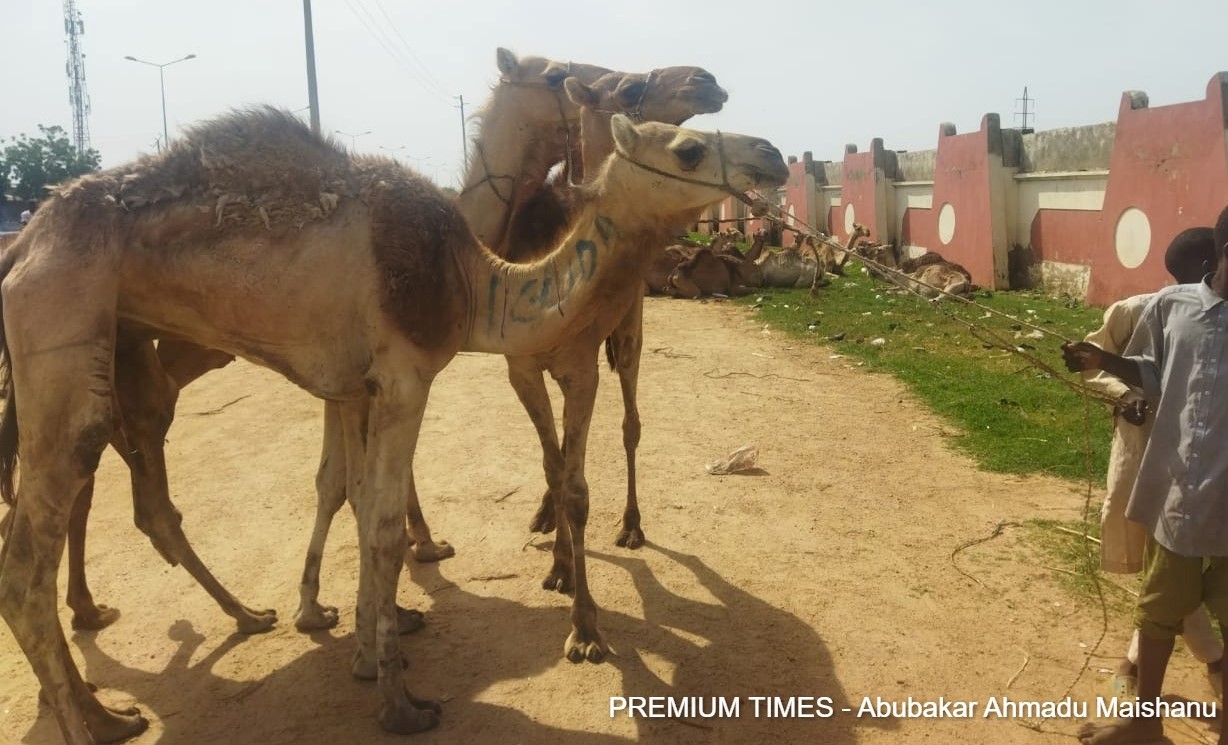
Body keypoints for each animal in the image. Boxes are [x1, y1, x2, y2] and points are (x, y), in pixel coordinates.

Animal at [0, 106, 788, 743]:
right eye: (688, 147)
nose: (775, 155)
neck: (473, 281)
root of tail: (23, 244)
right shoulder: (407, 376)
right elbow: (378, 523)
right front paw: (399, 701)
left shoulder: (362, 384)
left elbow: (350, 498)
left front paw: (364, 646)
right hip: (62, 326)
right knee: (26, 563)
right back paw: (97, 713)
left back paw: (117, 707)